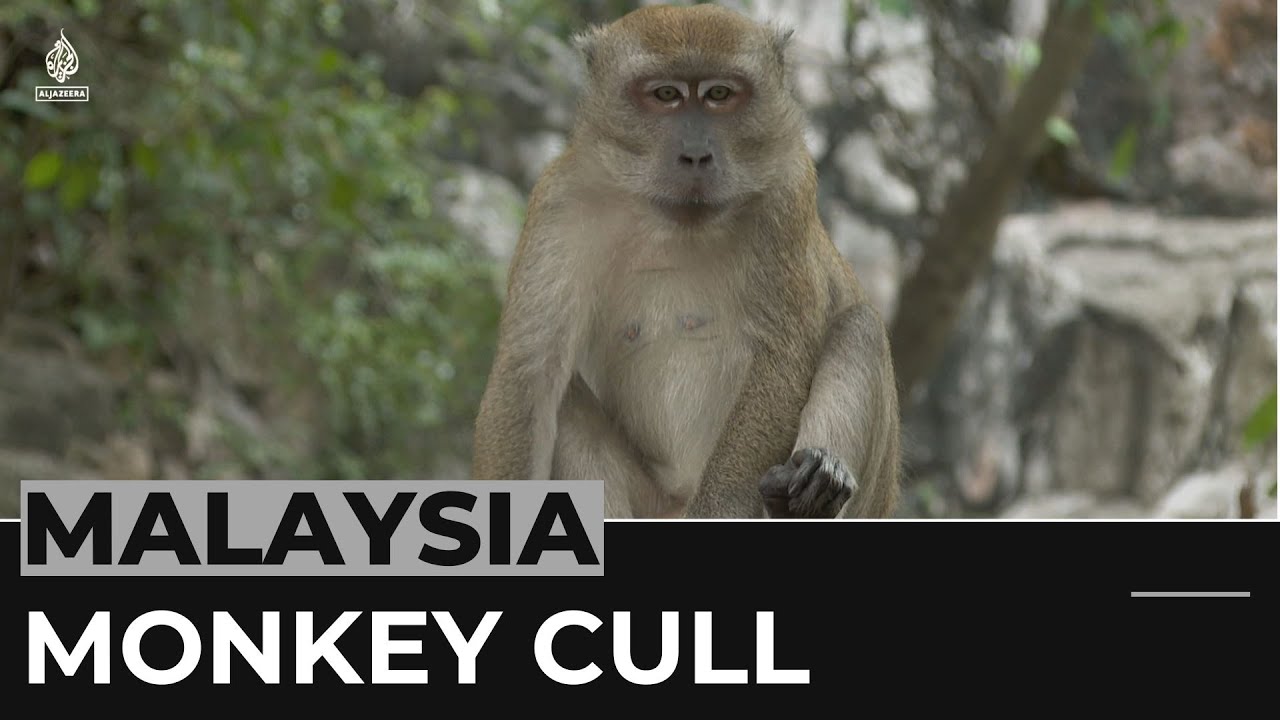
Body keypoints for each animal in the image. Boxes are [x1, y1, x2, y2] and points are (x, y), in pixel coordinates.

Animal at [470, 4, 901, 519]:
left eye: (718, 94)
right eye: (666, 95)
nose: (696, 154)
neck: (672, 221)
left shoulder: (787, 187)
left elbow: (783, 353)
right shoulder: (560, 201)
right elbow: (528, 375)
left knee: (859, 326)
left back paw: (814, 483)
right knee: (567, 400)